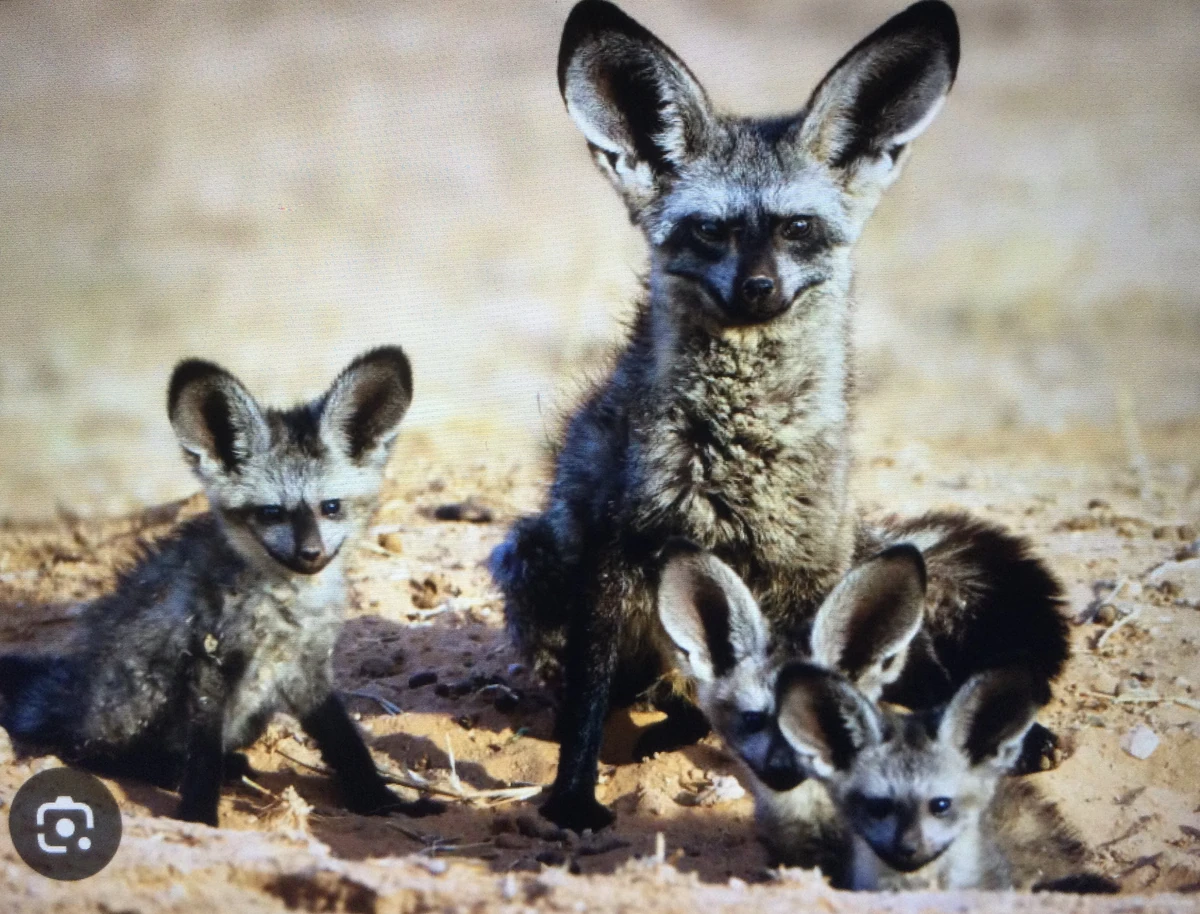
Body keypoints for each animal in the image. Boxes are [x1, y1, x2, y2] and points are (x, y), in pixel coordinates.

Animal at [0, 347, 443, 827]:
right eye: (271, 513)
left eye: (330, 508)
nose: (310, 554)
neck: (286, 609)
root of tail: (71, 697)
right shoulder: (209, 663)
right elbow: (204, 758)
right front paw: (198, 816)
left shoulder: (308, 668)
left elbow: (347, 744)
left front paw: (383, 802)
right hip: (142, 694)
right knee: (90, 752)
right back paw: (169, 767)